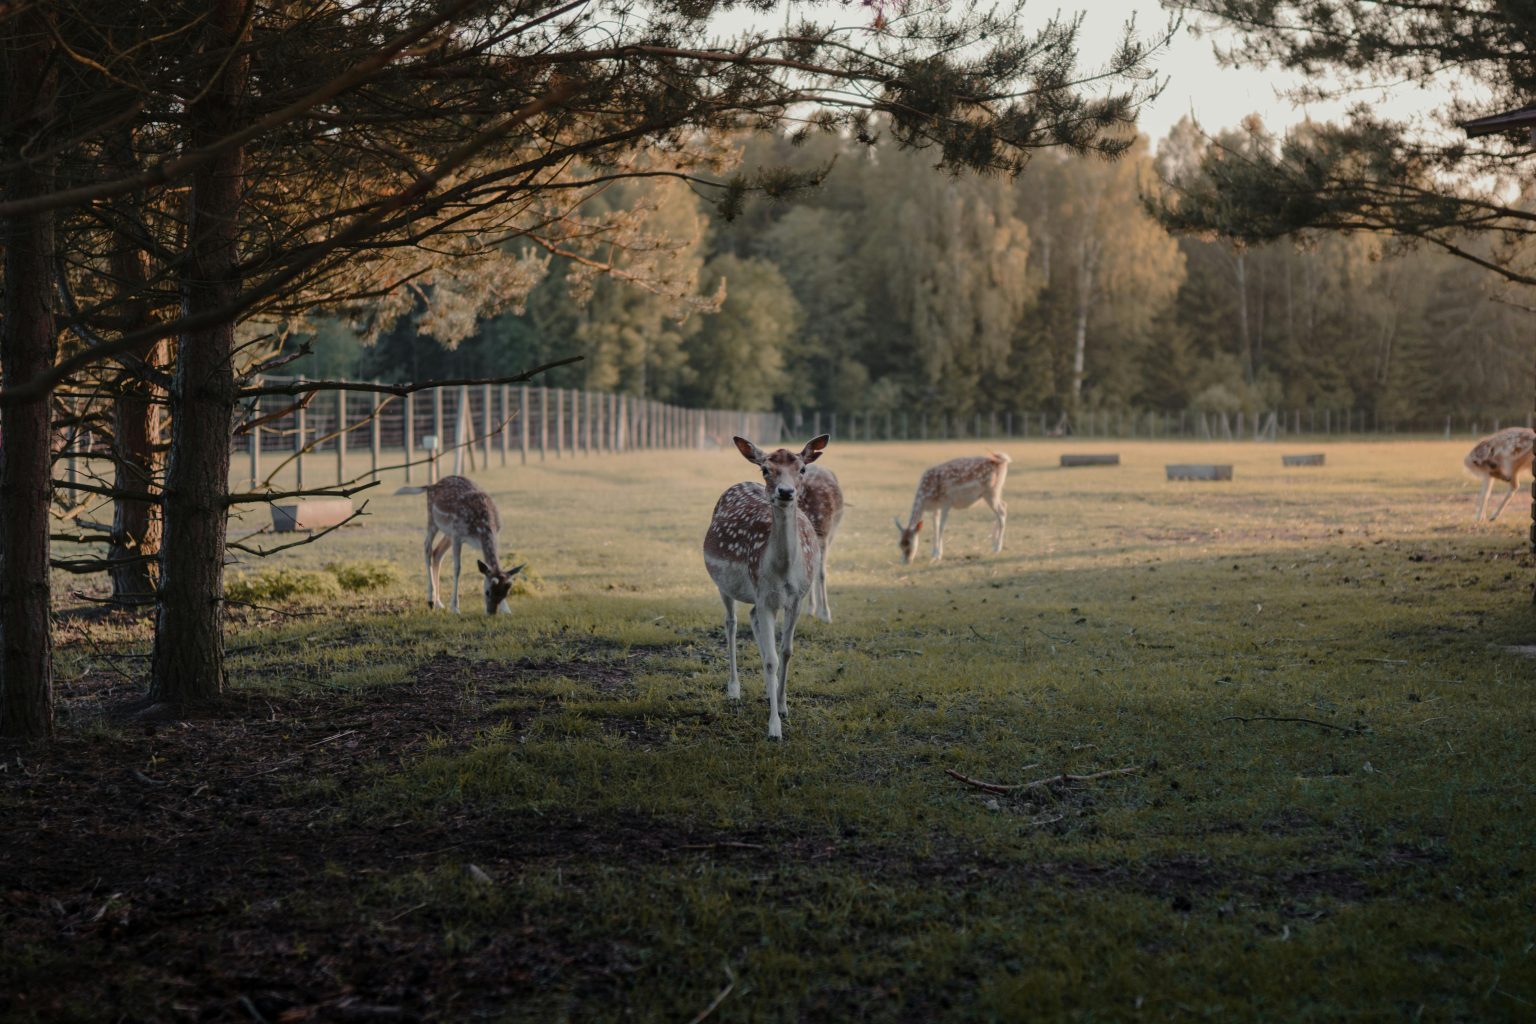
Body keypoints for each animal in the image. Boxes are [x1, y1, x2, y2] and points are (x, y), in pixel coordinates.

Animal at [394, 475, 524, 613]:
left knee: (437, 552)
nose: (491, 612)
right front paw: (455, 607)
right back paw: (430, 600)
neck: (481, 528)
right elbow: (457, 568)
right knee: (427, 547)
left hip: (448, 532)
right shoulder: (458, 535)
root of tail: (431, 486)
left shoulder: (495, 534)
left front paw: (506, 609)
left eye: (505, 594)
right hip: (433, 520)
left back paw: (438, 603)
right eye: (487, 592)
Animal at [703, 434, 828, 740]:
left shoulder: (796, 598)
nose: (785, 491)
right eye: (765, 469)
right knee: (731, 622)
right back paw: (734, 689)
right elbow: (772, 659)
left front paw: (782, 705)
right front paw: (774, 728)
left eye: (802, 469)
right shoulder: (764, 596)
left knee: (750, 618)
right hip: (724, 584)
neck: (783, 571)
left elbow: (786, 651)